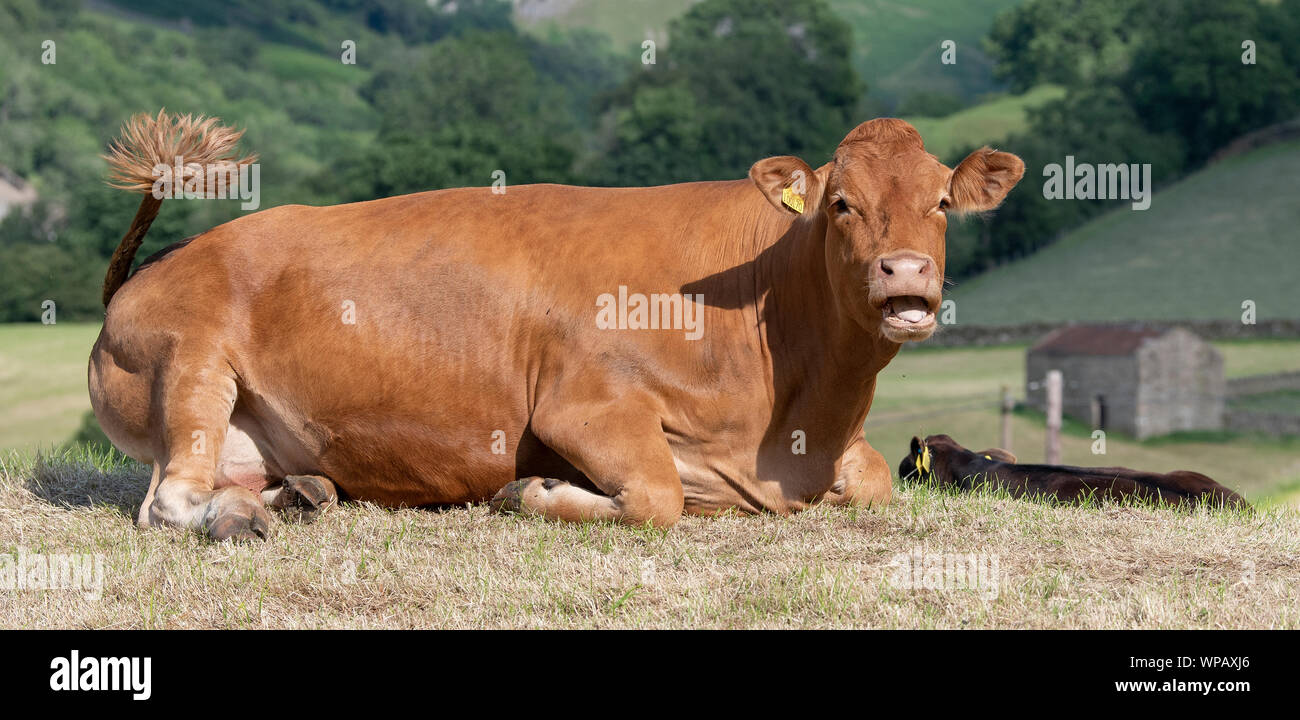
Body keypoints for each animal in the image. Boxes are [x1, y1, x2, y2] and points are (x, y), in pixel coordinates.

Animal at [89, 110, 1025, 540]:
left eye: (942, 204)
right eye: (840, 204)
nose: (905, 272)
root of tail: (153, 268)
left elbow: (874, 481)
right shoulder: (583, 405)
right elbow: (655, 497)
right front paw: (533, 491)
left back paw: (299, 492)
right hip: (191, 364)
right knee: (170, 499)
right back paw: (242, 516)